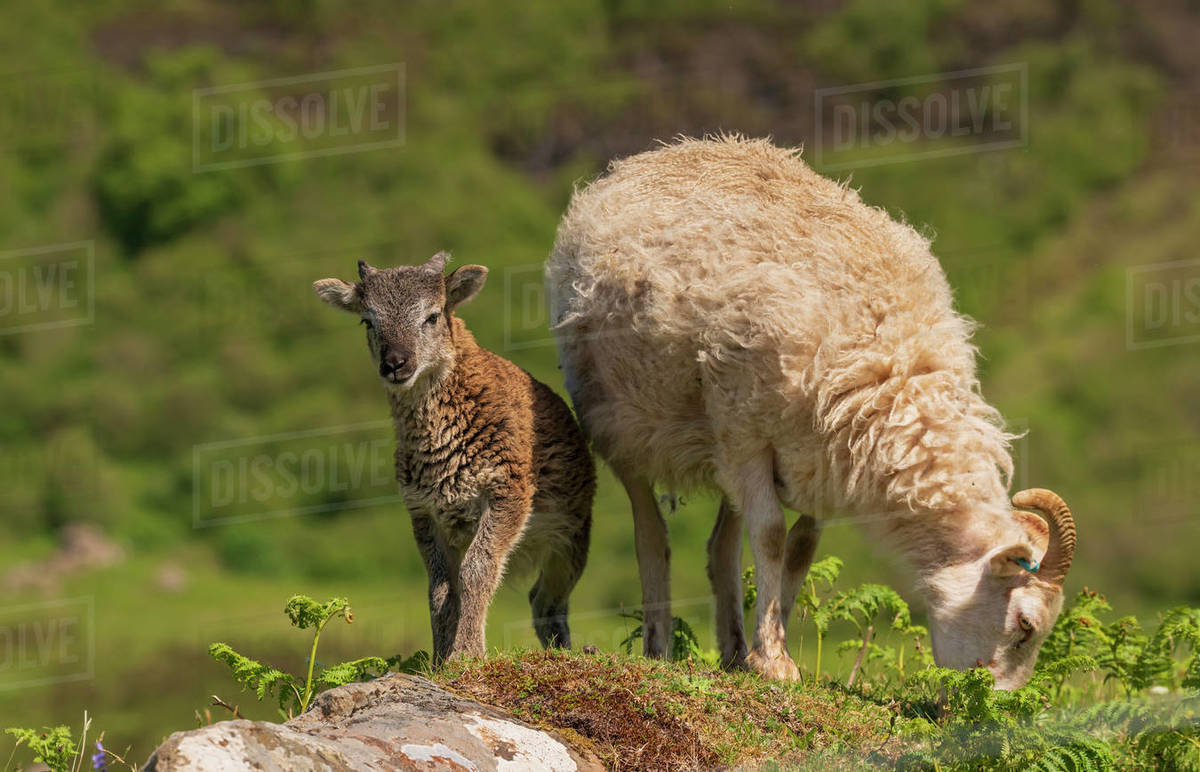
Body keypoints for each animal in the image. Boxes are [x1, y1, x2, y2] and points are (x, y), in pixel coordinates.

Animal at [314, 252, 595, 663]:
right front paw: (440, 658)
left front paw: (466, 654)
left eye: (432, 315)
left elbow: (478, 571)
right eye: (368, 320)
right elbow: (440, 589)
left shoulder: (507, 492)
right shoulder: (423, 511)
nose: (396, 363)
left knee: (547, 601)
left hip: (572, 537)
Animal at [546, 136, 1076, 689]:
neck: (894, 366)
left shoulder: (827, 463)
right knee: (652, 534)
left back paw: (733, 650)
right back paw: (658, 646)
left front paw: (768, 646)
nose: (993, 705)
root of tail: (665, 152)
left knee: (720, 547)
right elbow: (772, 537)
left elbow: (799, 550)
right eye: (1024, 625)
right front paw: (776, 662)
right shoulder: (746, 433)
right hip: (622, 424)